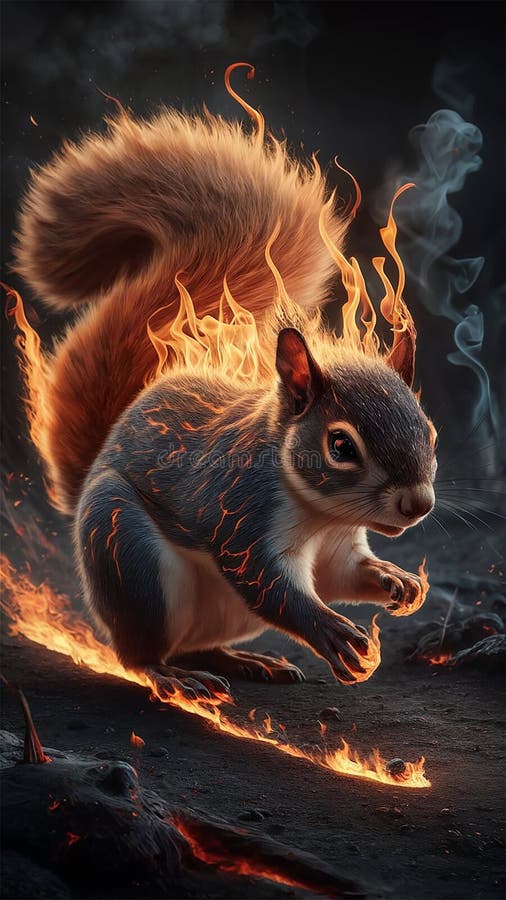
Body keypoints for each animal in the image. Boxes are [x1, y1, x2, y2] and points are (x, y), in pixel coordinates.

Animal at [13, 69, 437, 700]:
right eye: (340, 446)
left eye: (429, 431)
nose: (418, 504)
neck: (320, 516)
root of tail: (92, 469)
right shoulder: (239, 509)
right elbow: (265, 583)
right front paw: (334, 633)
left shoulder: (337, 549)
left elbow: (343, 576)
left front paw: (395, 580)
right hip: (127, 554)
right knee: (140, 653)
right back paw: (174, 677)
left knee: (196, 644)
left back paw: (244, 662)